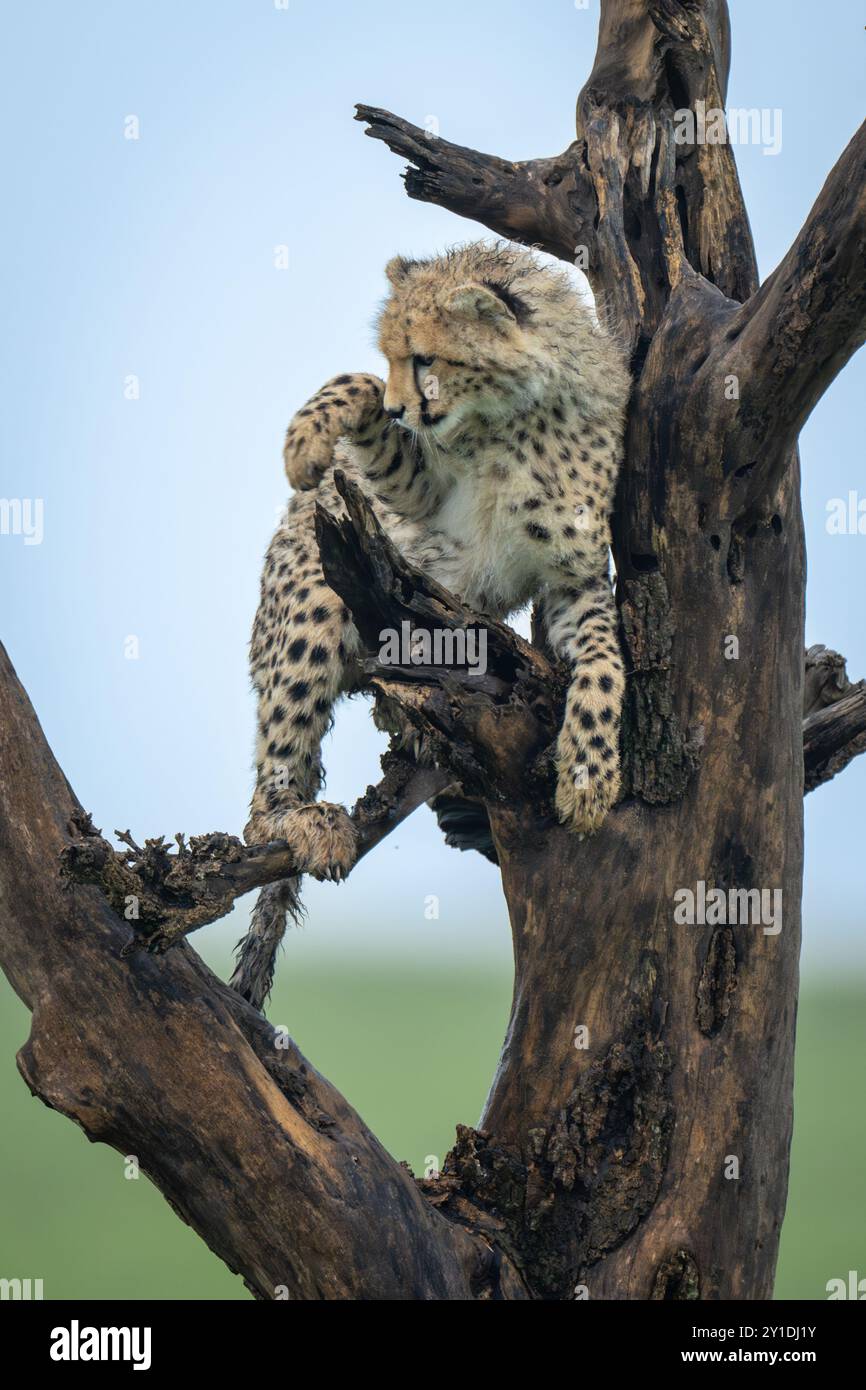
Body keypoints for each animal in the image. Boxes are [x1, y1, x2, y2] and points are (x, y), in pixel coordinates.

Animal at [230, 242, 630, 1010]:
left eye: (425, 358)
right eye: (391, 356)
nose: (401, 406)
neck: (514, 419)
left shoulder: (574, 580)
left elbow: (604, 663)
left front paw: (590, 773)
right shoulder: (414, 492)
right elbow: (350, 386)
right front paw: (307, 444)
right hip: (318, 592)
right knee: (263, 791)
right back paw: (301, 816)